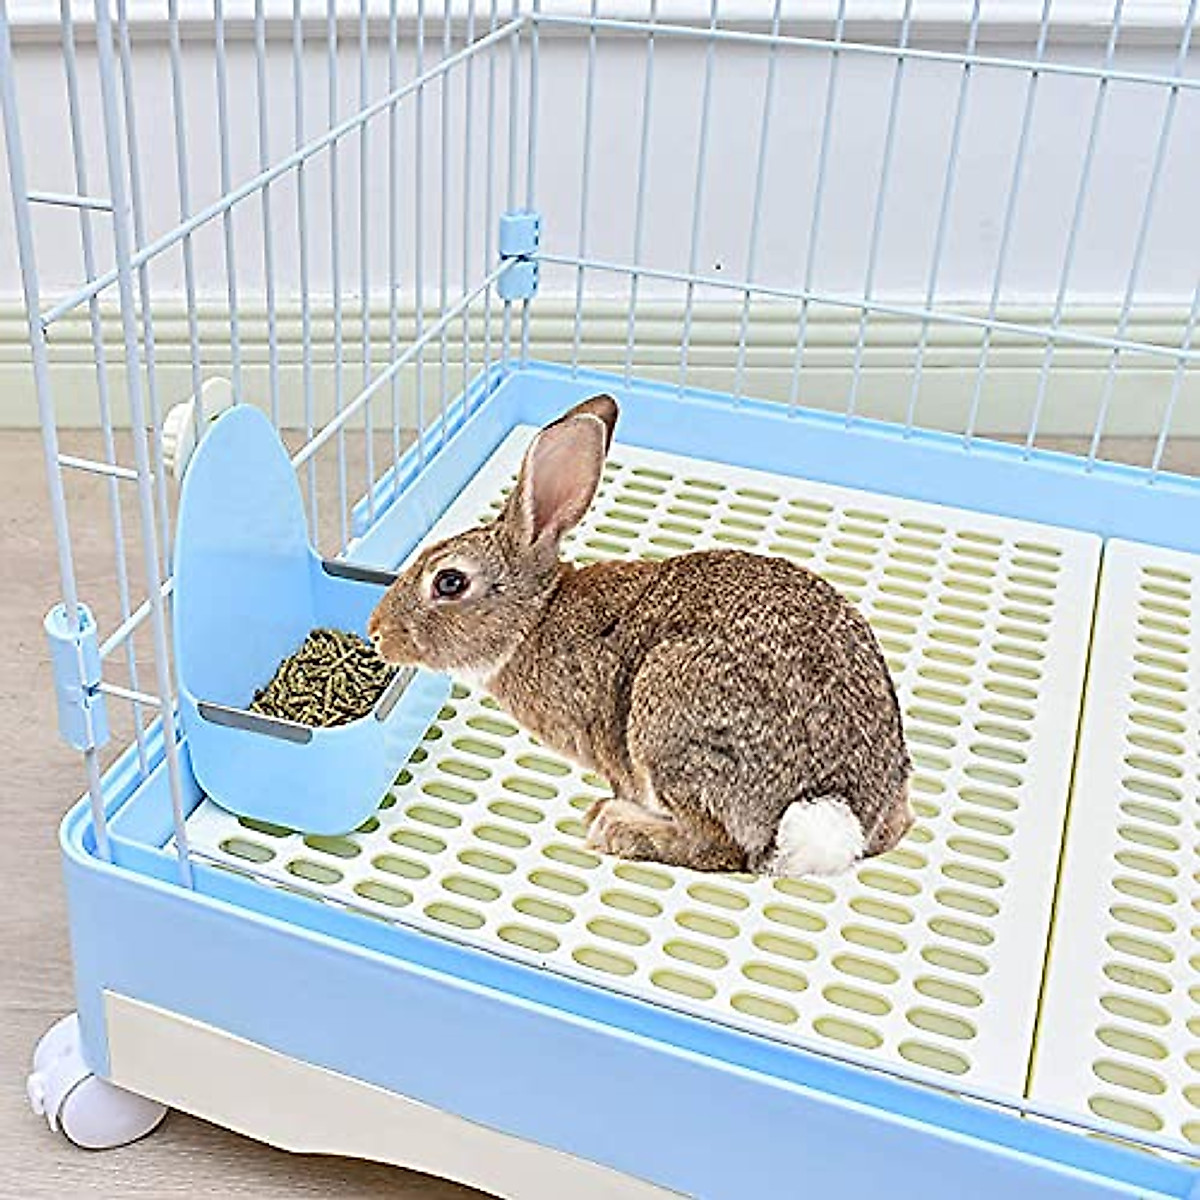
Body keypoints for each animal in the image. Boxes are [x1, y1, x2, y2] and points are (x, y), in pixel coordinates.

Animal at [367, 394, 913, 877]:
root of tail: (834, 813)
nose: (376, 632)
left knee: (719, 849)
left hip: (668, 720)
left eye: (449, 582)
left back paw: (615, 826)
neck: (535, 617)